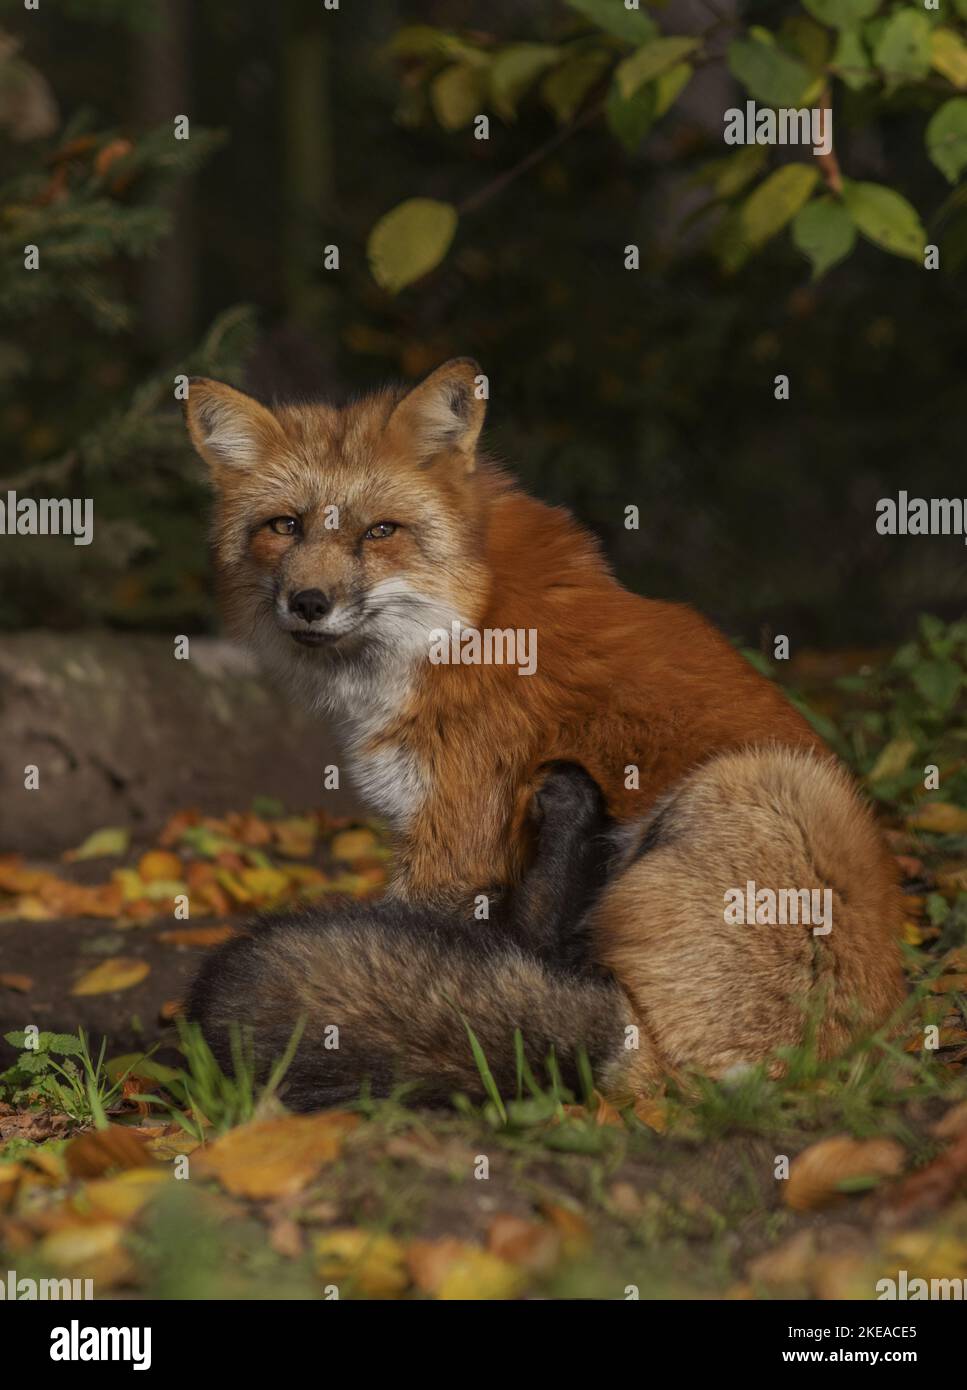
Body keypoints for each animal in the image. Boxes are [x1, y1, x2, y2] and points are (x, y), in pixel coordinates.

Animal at [183, 357, 906, 1104]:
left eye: (381, 532)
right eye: (284, 526)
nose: (308, 603)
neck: (464, 625)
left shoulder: (454, 843)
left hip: (759, 781)